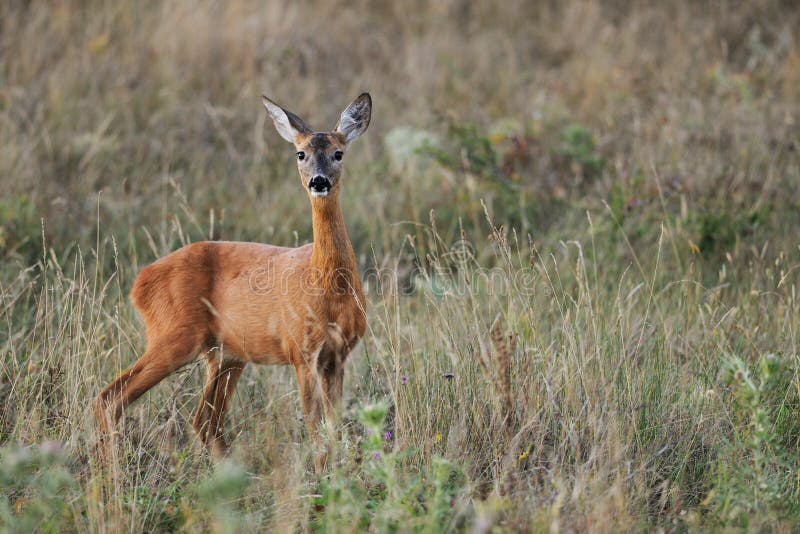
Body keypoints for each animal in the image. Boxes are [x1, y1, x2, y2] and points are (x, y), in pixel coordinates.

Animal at [94, 93, 371, 472]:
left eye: (338, 152)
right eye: (300, 153)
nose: (318, 181)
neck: (327, 285)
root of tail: (140, 282)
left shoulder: (338, 354)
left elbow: (334, 425)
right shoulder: (301, 349)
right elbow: (315, 427)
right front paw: (323, 476)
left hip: (226, 354)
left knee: (204, 419)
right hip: (176, 334)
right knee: (112, 397)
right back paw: (112, 474)